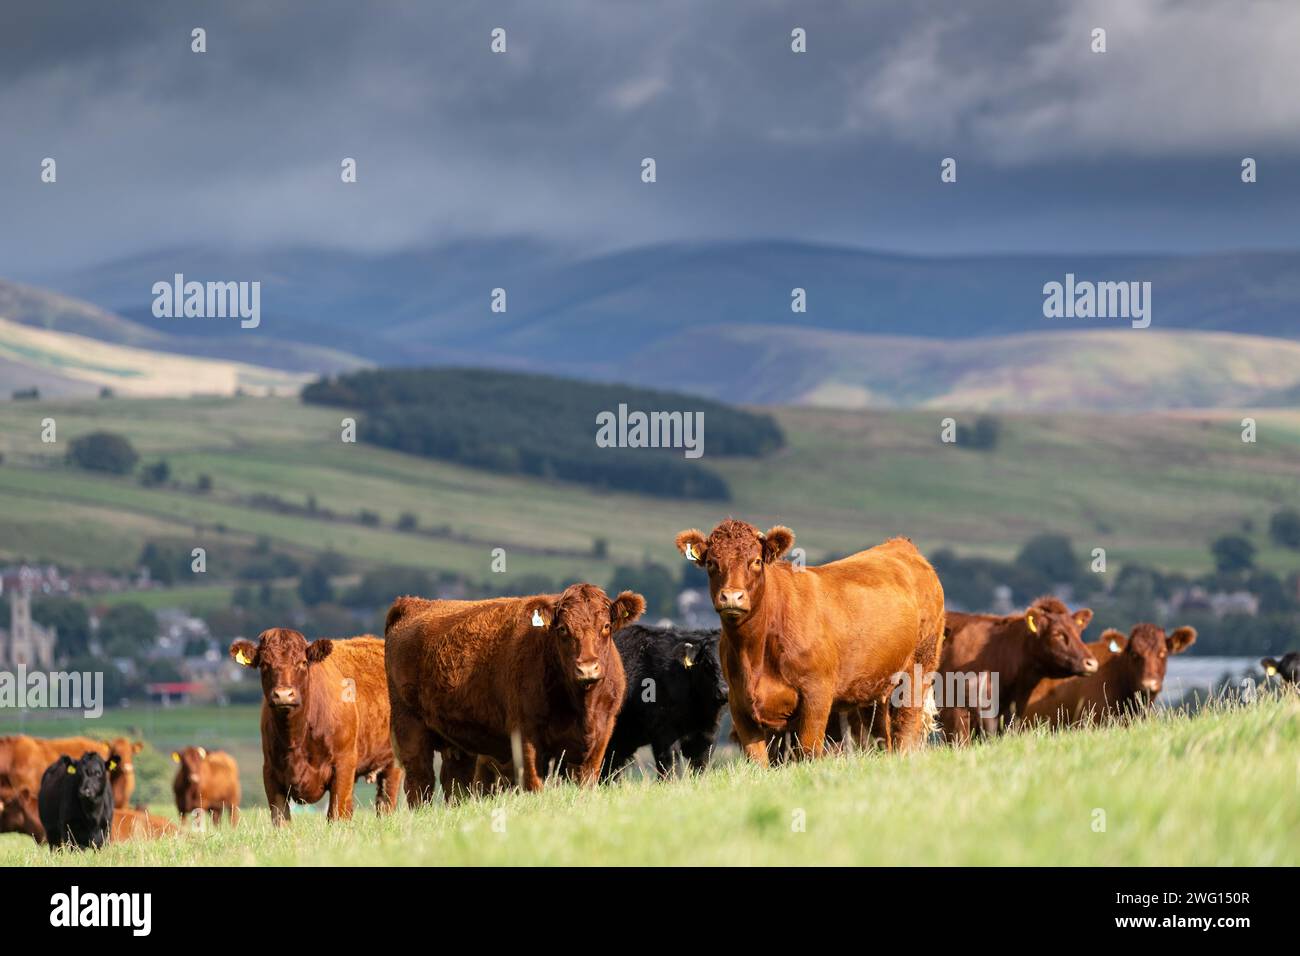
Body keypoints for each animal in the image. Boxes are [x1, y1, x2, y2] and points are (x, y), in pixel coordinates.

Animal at [229, 629, 401, 824]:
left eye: (303, 662)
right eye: (264, 664)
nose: (283, 695)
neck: (295, 737)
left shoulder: (343, 765)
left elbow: (336, 815)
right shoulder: (271, 772)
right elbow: (280, 819)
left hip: (393, 762)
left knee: (386, 803)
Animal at [385, 584, 645, 801]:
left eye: (606, 626)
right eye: (562, 629)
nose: (587, 667)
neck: (582, 705)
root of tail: (414, 604)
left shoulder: (601, 735)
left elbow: (585, 782)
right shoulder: (526, 734)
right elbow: (533, 784)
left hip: (457, 741)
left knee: (455, 784)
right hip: (409, 727)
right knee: (420, 782)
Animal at [602, 625, 729, 779]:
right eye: (707, 663)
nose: (724, 691)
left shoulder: (709, 734)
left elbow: (700, 766)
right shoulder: (665, 733)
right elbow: (670, 767)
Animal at [674, 521, 946, 762]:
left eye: (756, 561)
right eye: (711, 563)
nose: (732, 596)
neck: (753, 651)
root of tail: (901, 545)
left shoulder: (816, 695)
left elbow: (808, 751)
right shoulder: (740, 705)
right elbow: (760, 760)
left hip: (919, 668)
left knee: (906, 727)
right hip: (875, 686)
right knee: (881, 735)